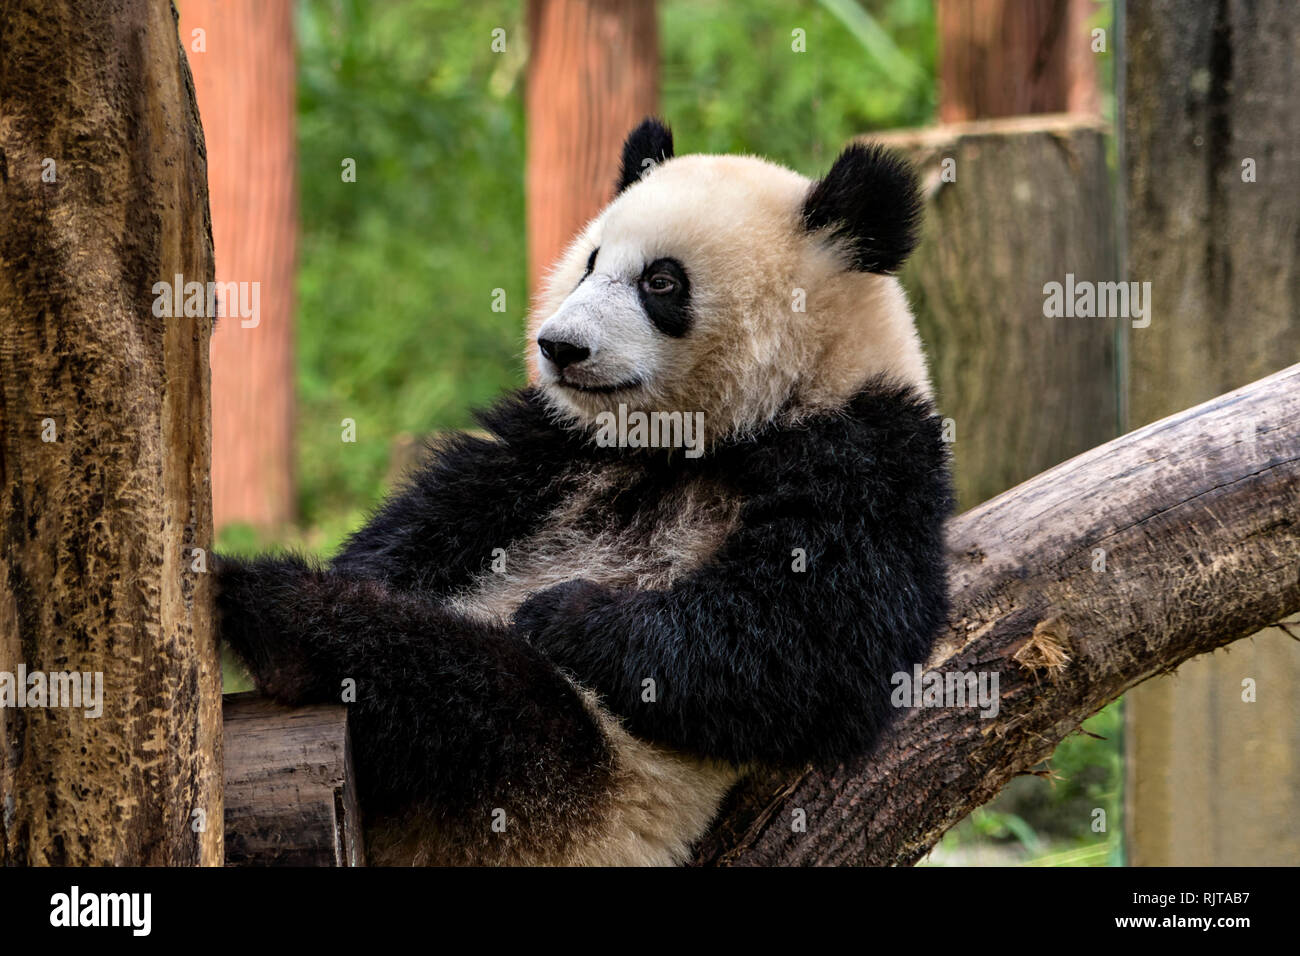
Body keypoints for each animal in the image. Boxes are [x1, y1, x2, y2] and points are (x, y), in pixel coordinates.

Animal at [216, 118, 952, 866]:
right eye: (591, 262)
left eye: (662, 281)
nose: (559, 347)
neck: (697, 436)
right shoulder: (555, 444)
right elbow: (435, 514)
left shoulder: (868, 450)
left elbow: (813, 650)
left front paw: (562, 613)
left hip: (571, 780)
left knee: (459, 689)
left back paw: (271, 606)